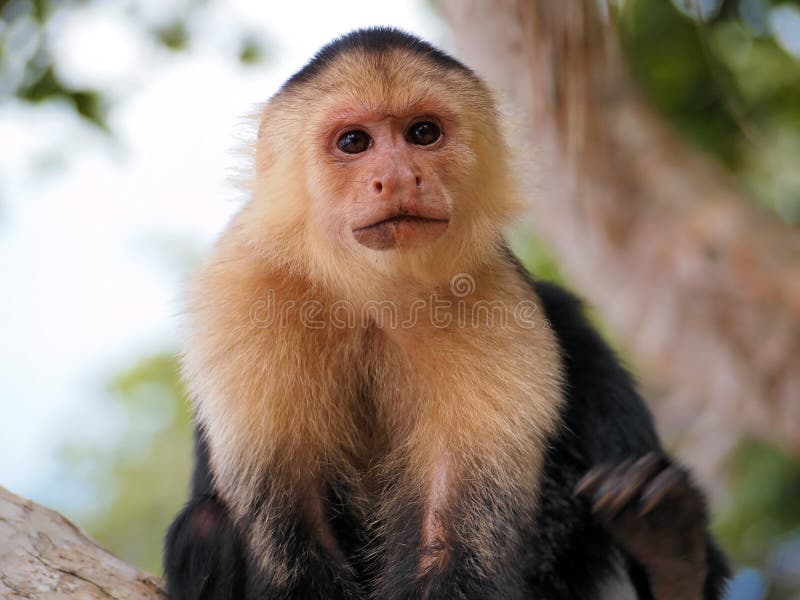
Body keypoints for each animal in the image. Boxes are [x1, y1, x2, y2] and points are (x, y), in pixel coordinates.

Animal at [164, 28, 730, 599]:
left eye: (423, 133)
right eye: (354, 143)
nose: (397, 178)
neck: (370, 291)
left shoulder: (494, 295)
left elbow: (454, 538)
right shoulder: (242, 287)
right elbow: (294, 535)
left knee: (571, 327)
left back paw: (670, 551)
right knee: (206, 526)